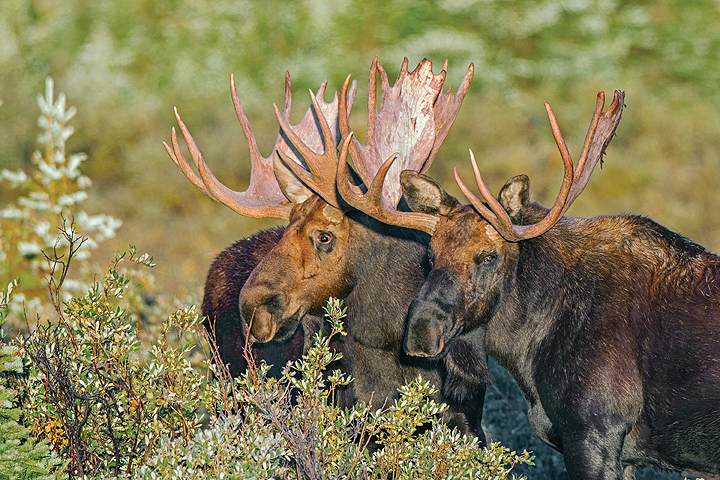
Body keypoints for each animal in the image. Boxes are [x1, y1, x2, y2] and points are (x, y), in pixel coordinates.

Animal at [342, 89, 720, 479]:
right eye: (430, 256)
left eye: (489, 256)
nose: (420, 331)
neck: (529, 346)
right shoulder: (622, 453)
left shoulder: (594, 430)